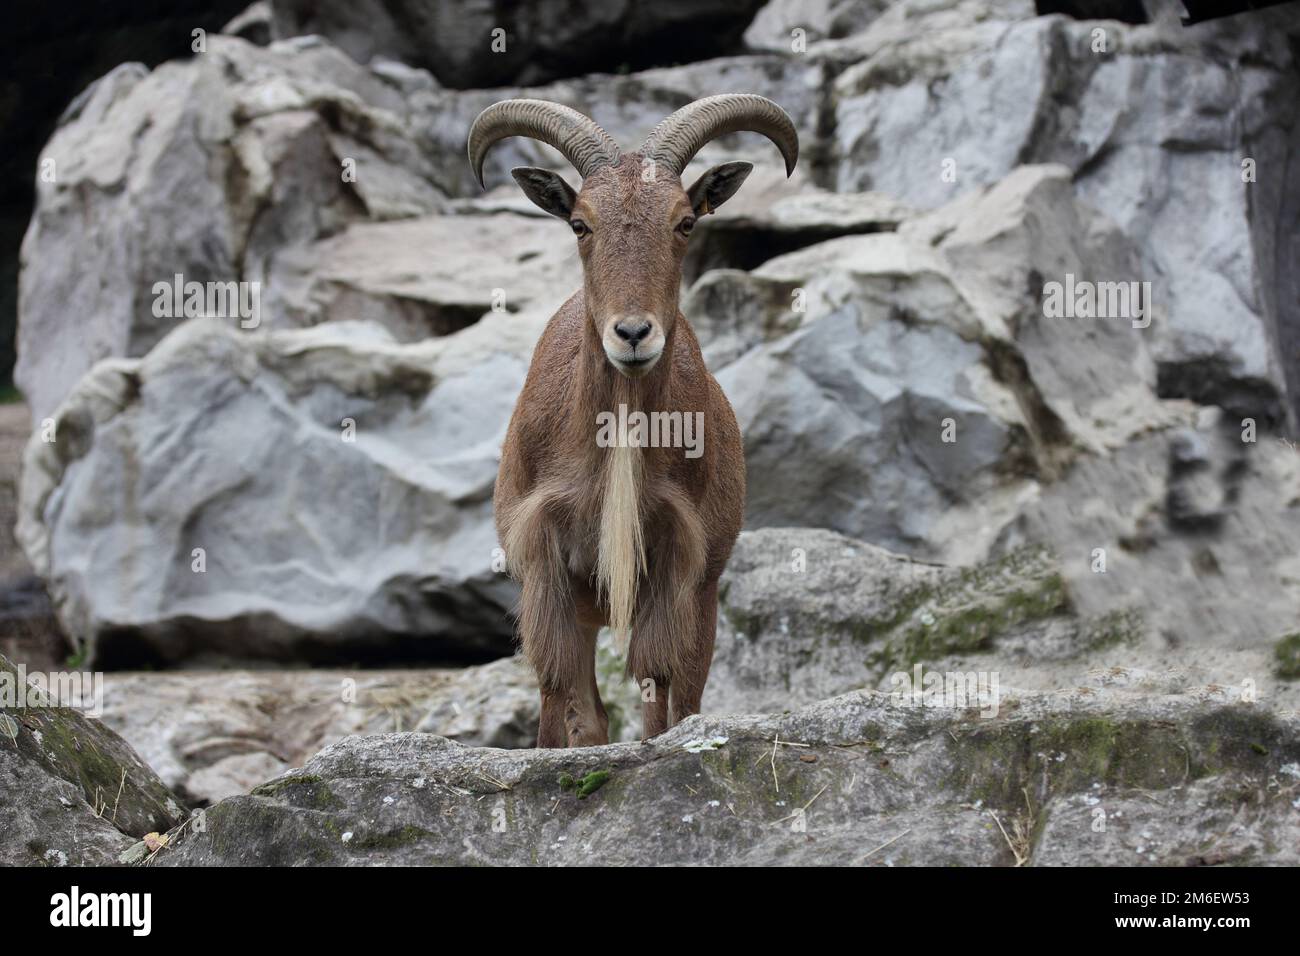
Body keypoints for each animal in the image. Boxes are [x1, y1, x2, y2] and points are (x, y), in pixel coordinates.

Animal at [468, 95, 798, 747]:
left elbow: (655, 674)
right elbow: (558, 682)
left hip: (704, 595)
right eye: (580, 224)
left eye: (685, 222)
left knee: (685, 692)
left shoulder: (676, 552)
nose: (633, 333)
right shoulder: (542, 552)